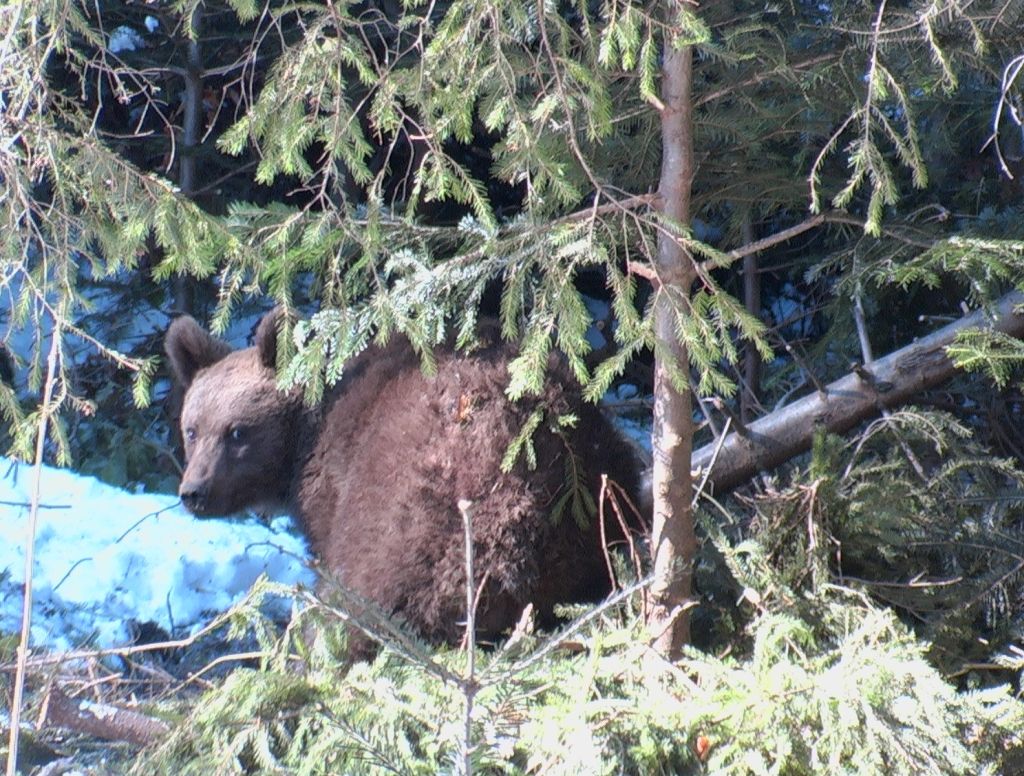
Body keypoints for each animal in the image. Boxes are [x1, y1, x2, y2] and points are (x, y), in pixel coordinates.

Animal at [165, 309, 644, 647]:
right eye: (192, 429)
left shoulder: (336, 484)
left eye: (237, 431)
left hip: (420, 518)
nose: (194, 492)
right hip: (593, 494)